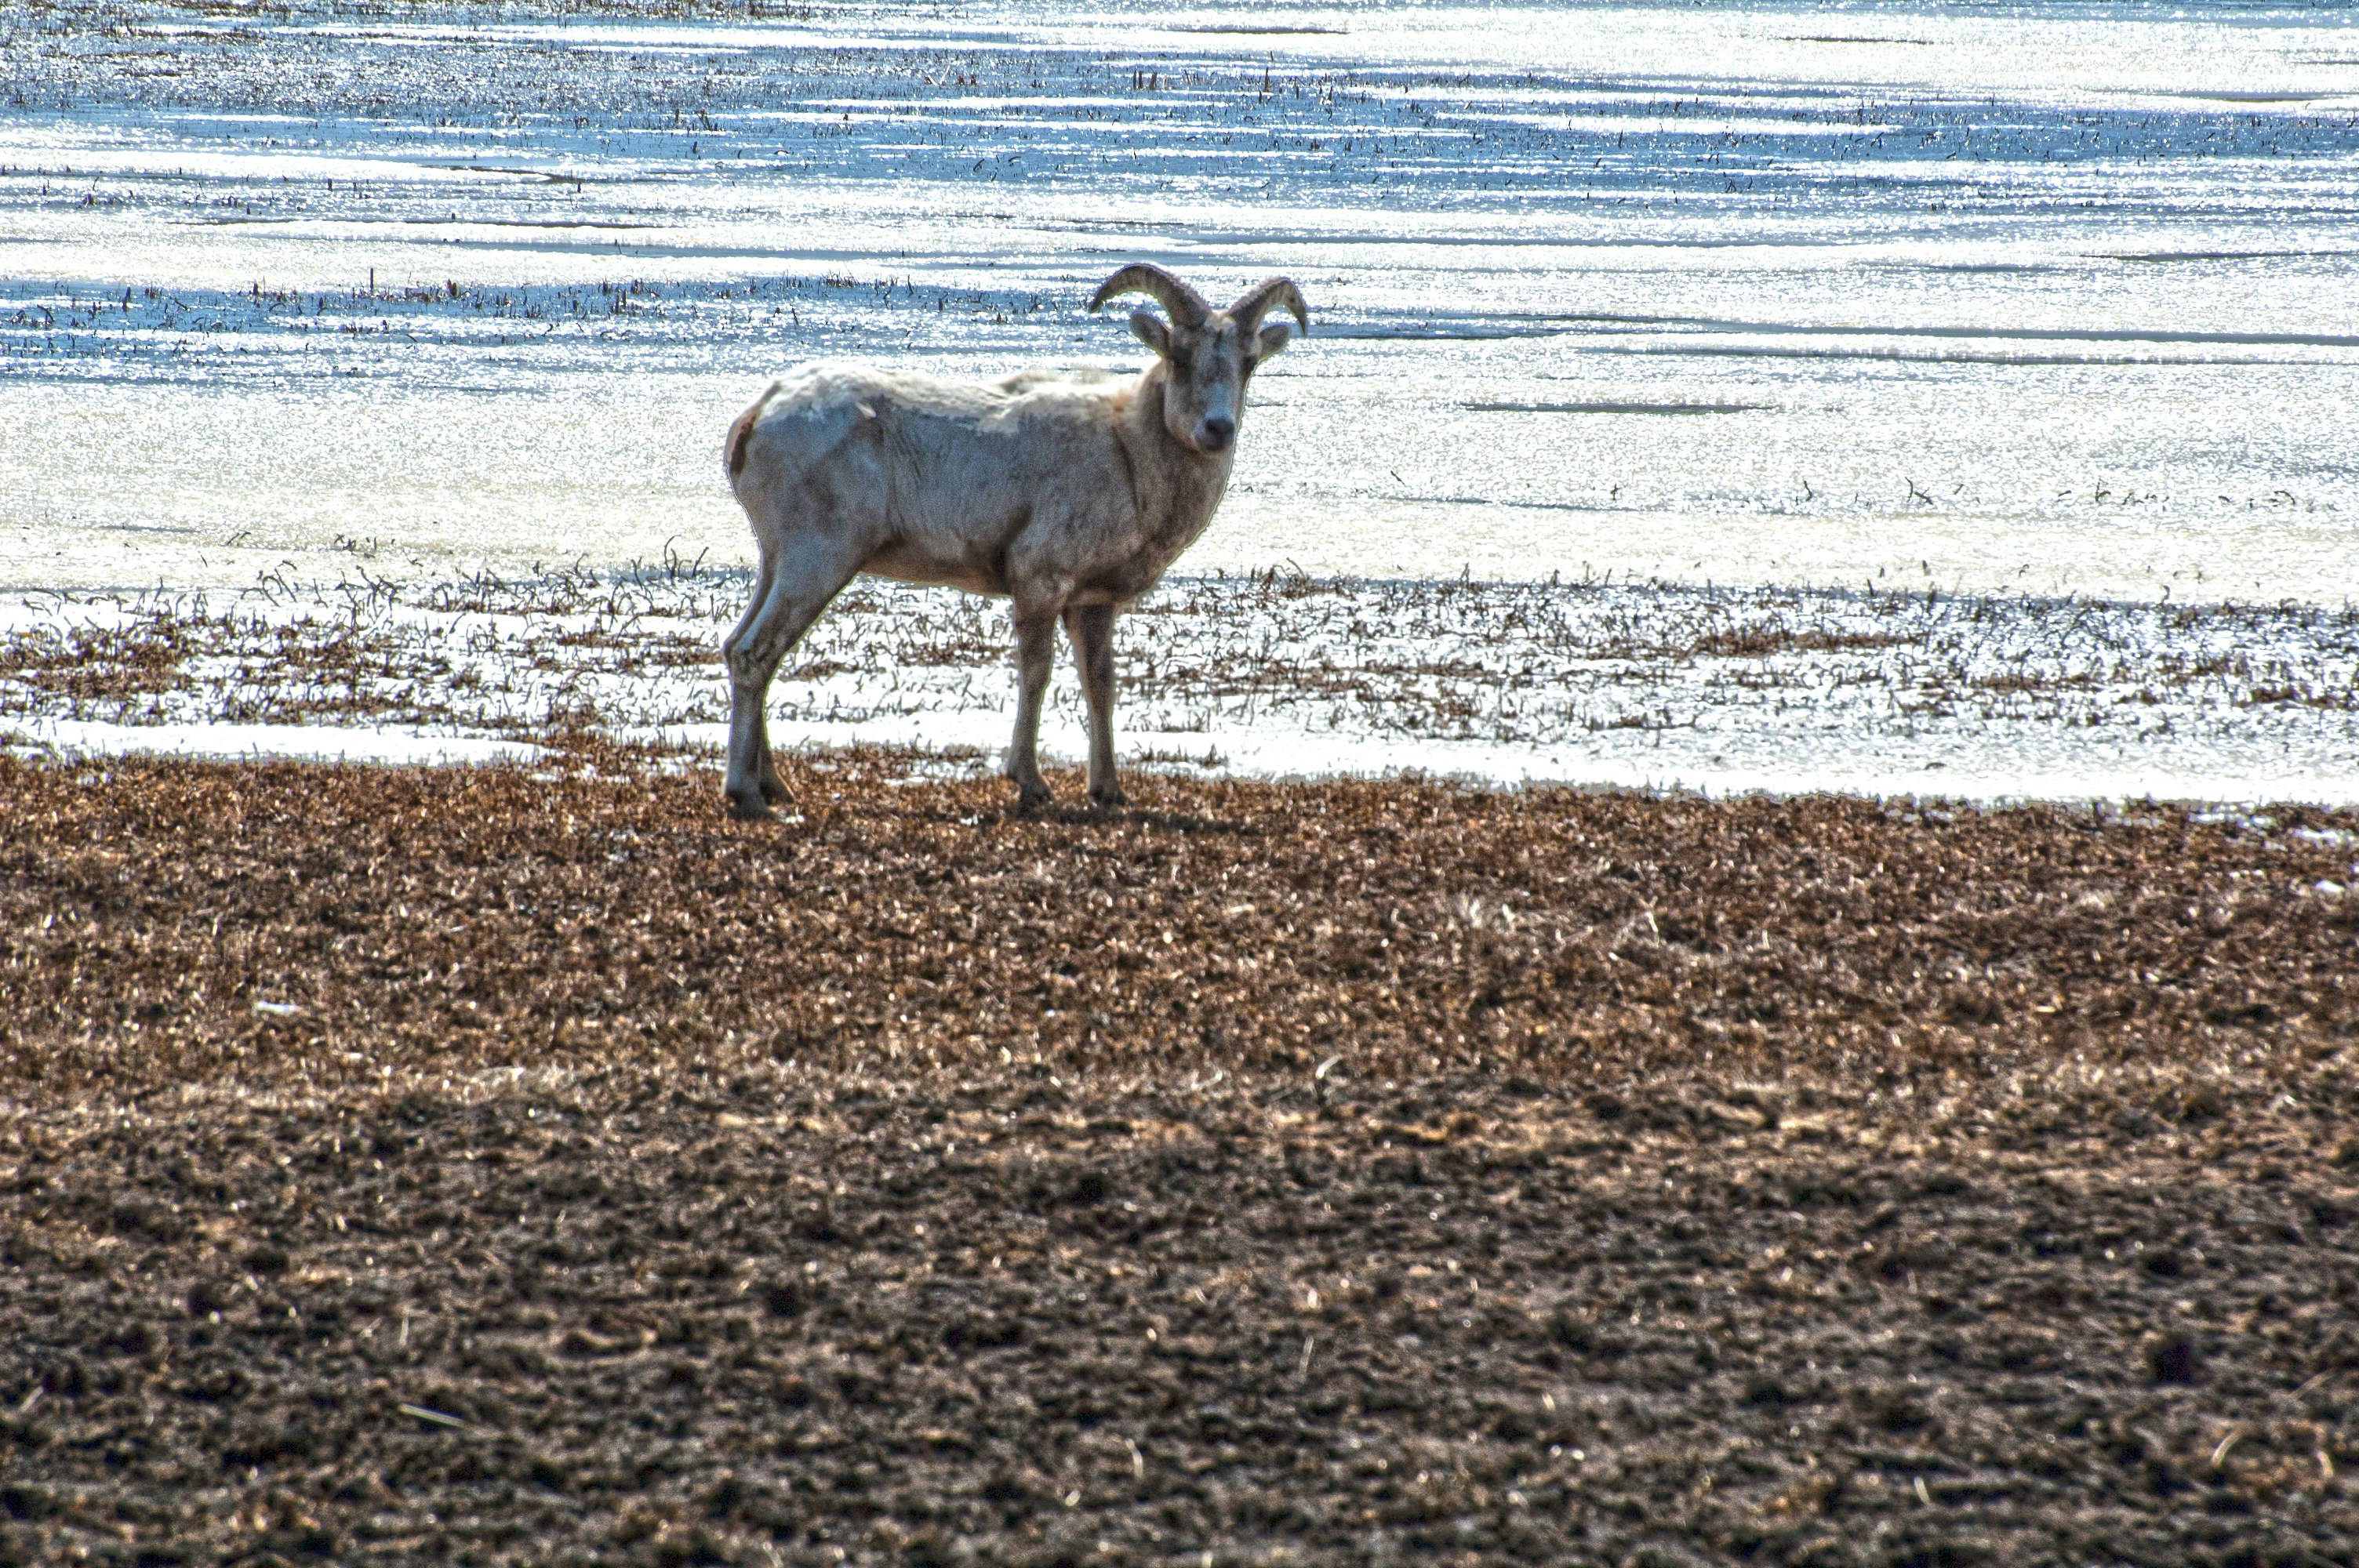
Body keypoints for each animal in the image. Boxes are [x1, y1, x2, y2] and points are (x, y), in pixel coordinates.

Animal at [717, 263, 1308, 818]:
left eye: (1249, 361)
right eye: (1180, 356)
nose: (1217, 429)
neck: (1129, 453)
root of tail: (756, 418)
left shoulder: (1094, 603)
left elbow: (1101, 684)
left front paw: (1109, 790)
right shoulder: (1040, 581)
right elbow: (1037, 674)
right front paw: (1030, 783)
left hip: (777, 562)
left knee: (742, 648)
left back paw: (776, 786)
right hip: (817, 560)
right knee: (755, 653)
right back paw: (747, 795)